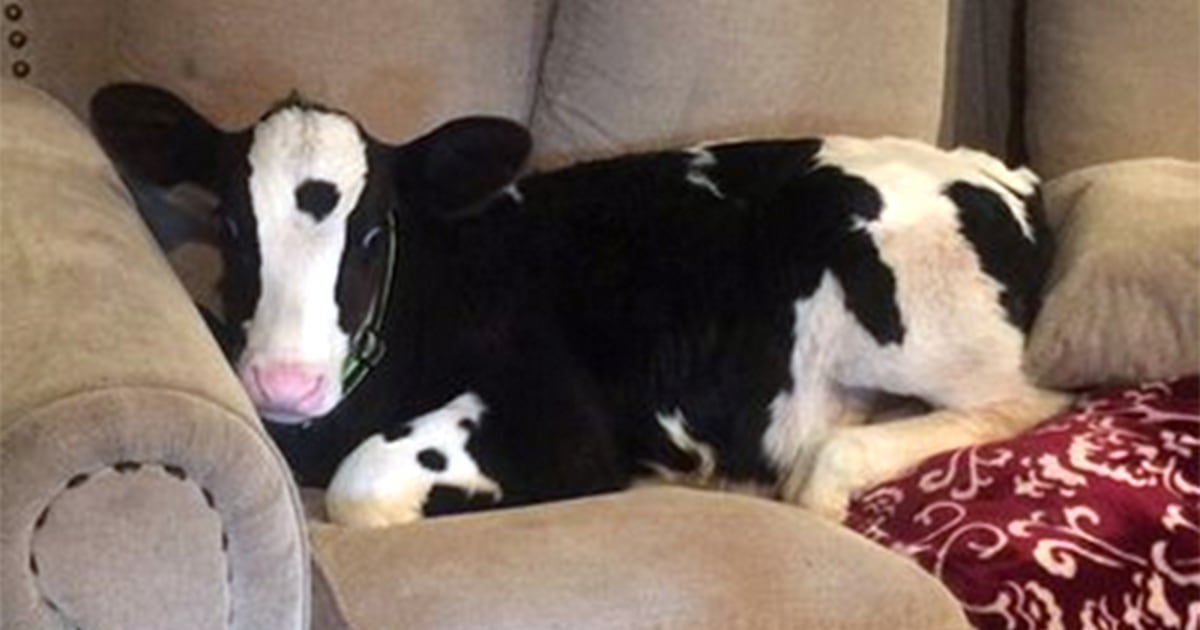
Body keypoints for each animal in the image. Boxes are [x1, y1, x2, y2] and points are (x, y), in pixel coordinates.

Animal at [91, 83, 1069, 528]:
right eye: (229, 221)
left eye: (372, 231)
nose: (284, 384)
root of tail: (1002, 171)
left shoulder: (566, 420)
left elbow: (365, 484)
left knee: (1028, 399)